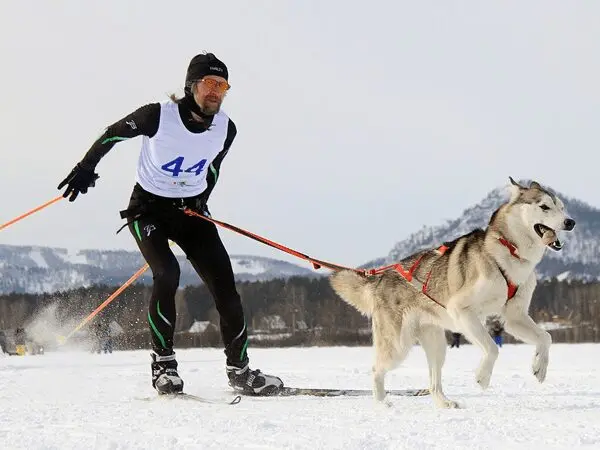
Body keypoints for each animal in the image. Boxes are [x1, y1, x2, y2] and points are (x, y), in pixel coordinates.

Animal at [330, 178, 576, 408]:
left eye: (562, 207)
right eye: (544, 206)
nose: (570, 222)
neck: (509, 252)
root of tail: (381, 278)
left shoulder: (514, 317)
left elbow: (546, 337)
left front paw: (539, 366)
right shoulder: (461, 310)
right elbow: (491, 348)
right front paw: (482, 377)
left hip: (437, 346)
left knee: (433, 382)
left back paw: (444, 403)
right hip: (398, 345)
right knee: (376, 369)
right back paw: (382, 402)